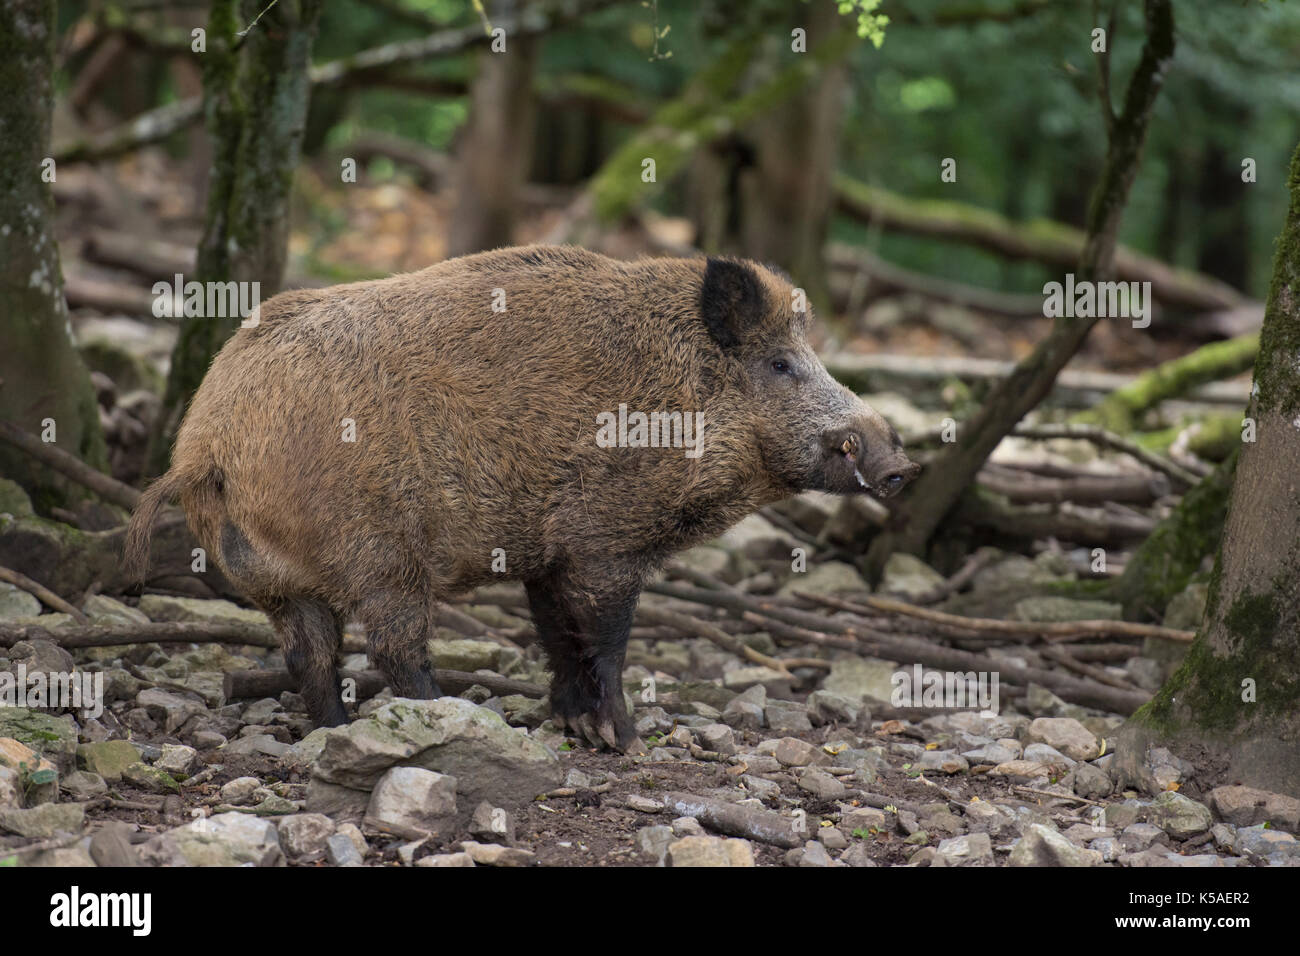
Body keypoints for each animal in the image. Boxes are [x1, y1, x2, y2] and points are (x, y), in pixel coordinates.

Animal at [124, 245, 918, 750]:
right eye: (782, 364)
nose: (899, 464)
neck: (679, 397)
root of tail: (204, 447)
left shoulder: (546, 553)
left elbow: (556, 636)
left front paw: (576, 729)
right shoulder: (605, 542)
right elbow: (605, 643)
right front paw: (626, 742)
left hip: (280, 582)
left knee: (310, 657)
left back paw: (336, 735)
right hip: (383, 558)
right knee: (391, 648)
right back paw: (447, 720)